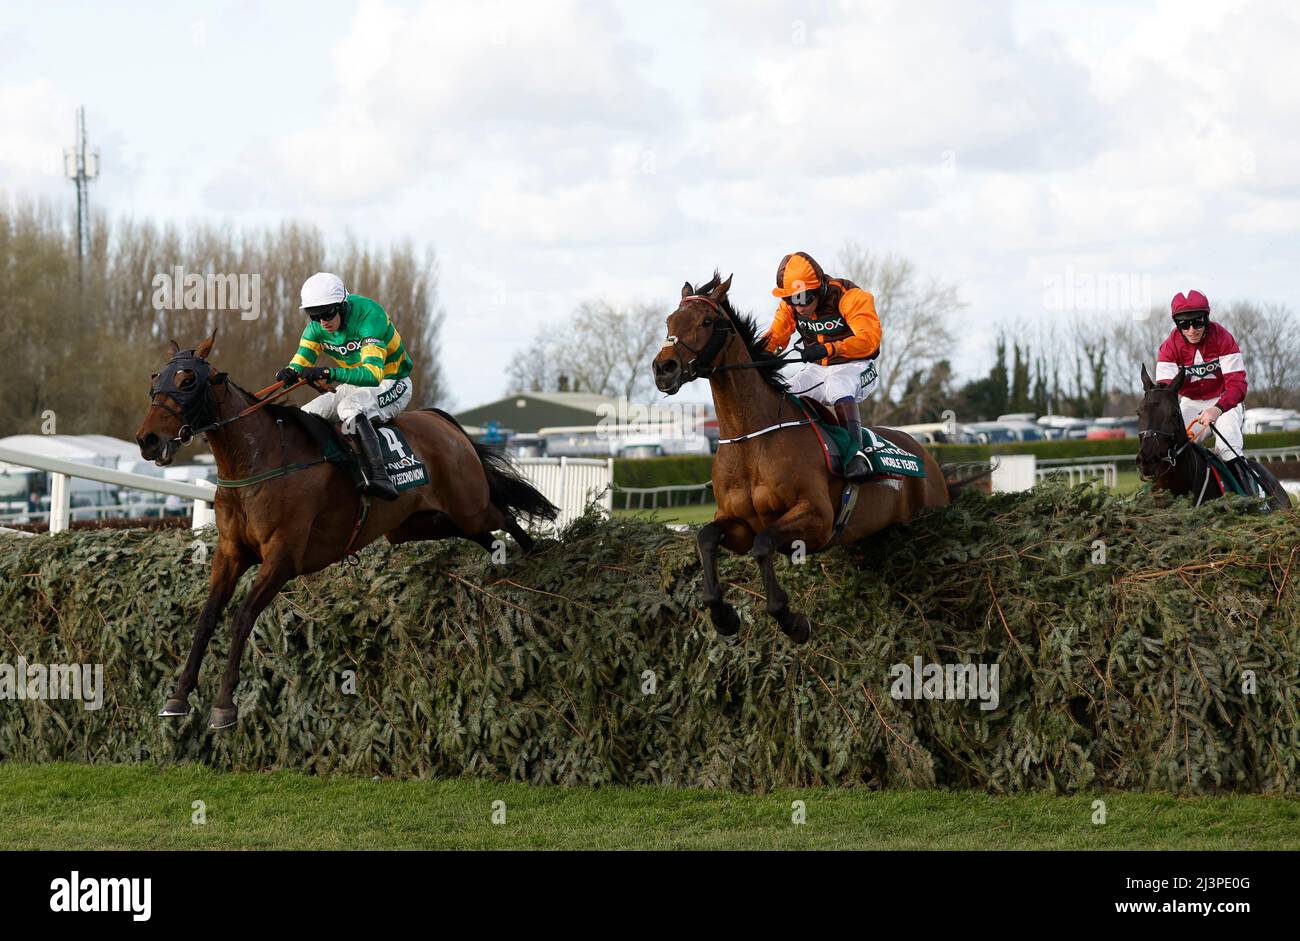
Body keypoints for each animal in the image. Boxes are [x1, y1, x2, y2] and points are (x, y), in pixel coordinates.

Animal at [135, 332, 558, 728]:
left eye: (188, 379)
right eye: (156, 377)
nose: (147, 440)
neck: (257, 460)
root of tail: (442, 421)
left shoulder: (283, 557)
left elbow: (242, 617)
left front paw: (224, 705)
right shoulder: (231, 552)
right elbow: (207, 617)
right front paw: (178, 696)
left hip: (468, 504)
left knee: (504, 518)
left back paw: (539, 559)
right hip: (419, 524)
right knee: (482, 534)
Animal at [651, 273, 980, 644]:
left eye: (706, 321)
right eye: (669, 321)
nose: (664, 368)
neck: (751, 439)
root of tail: (928, 459)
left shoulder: (818, 519)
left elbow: (764, 544)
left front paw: (791, 620)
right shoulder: (737, 523)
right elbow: (706, 538)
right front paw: (723, 616)